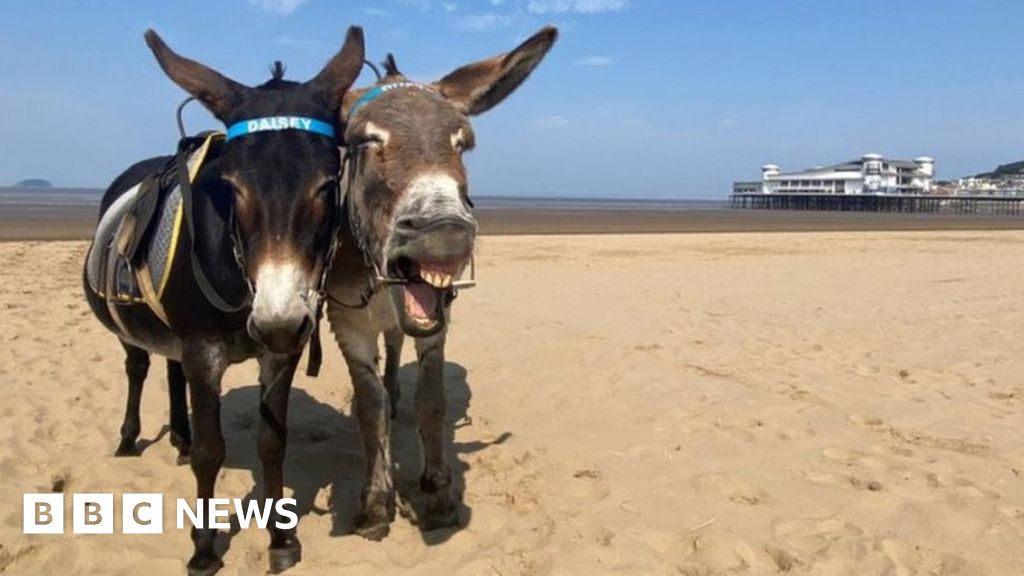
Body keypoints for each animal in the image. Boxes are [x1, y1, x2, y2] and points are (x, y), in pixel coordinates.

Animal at [83, 27, 364, 575]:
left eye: (326, 185)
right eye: (232, 188)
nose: (277, 322)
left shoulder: (280, 353)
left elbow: (272, 442)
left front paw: (280, 540)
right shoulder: (203, 350)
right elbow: (211, 453)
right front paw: (204, 548)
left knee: (170, 370)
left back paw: (178, 437)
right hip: (132, 329)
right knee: (138, 368)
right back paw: (130, 440)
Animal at [324, 26, 558, 539]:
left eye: (462, 143)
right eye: (366, 141)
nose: (446, 232)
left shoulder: (438, 320)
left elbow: (432, 401)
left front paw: (437, 493)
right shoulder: (347, 324)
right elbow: (369, 410)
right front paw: (376, 503)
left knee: (396, 346)